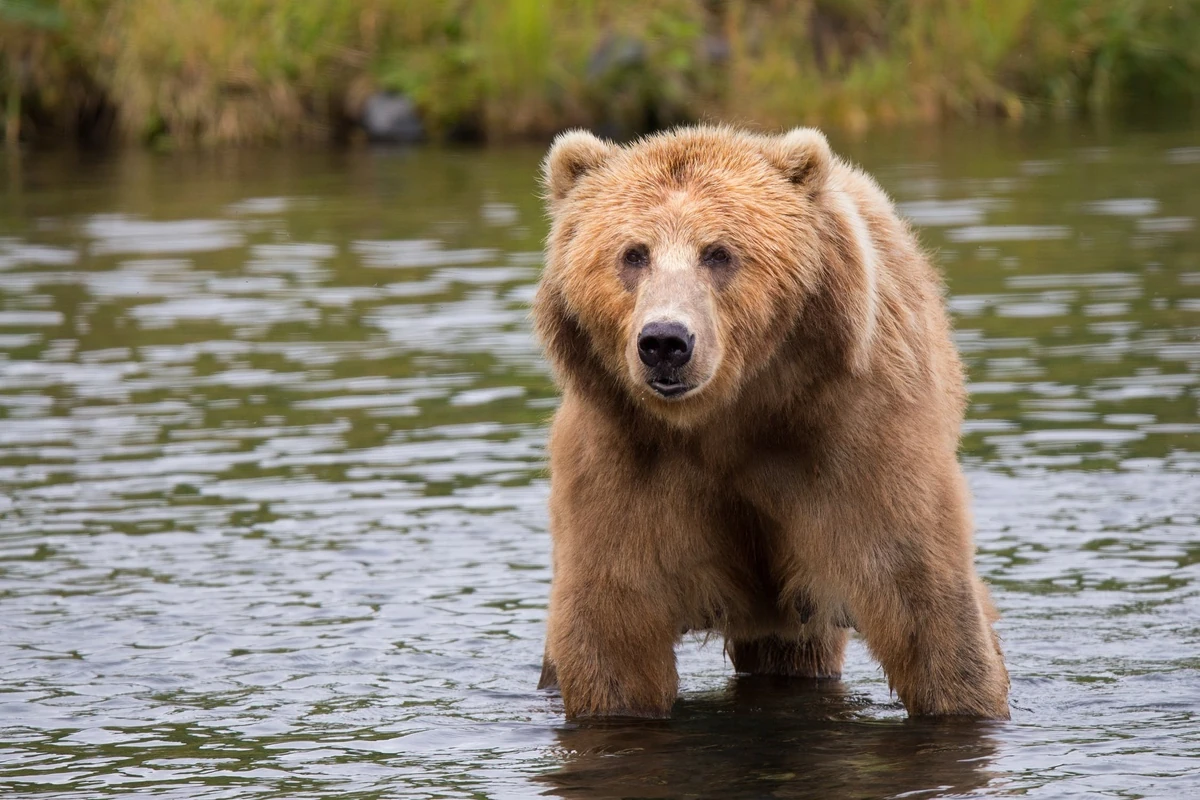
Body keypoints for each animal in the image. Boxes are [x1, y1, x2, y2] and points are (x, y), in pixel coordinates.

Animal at [531, 125, 1010, 720]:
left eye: (718, 253)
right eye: (633, 254)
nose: (665, 341)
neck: (729, 416)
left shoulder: (854, 439)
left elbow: (923, 597)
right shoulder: (624, 458)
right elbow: (612, 627)